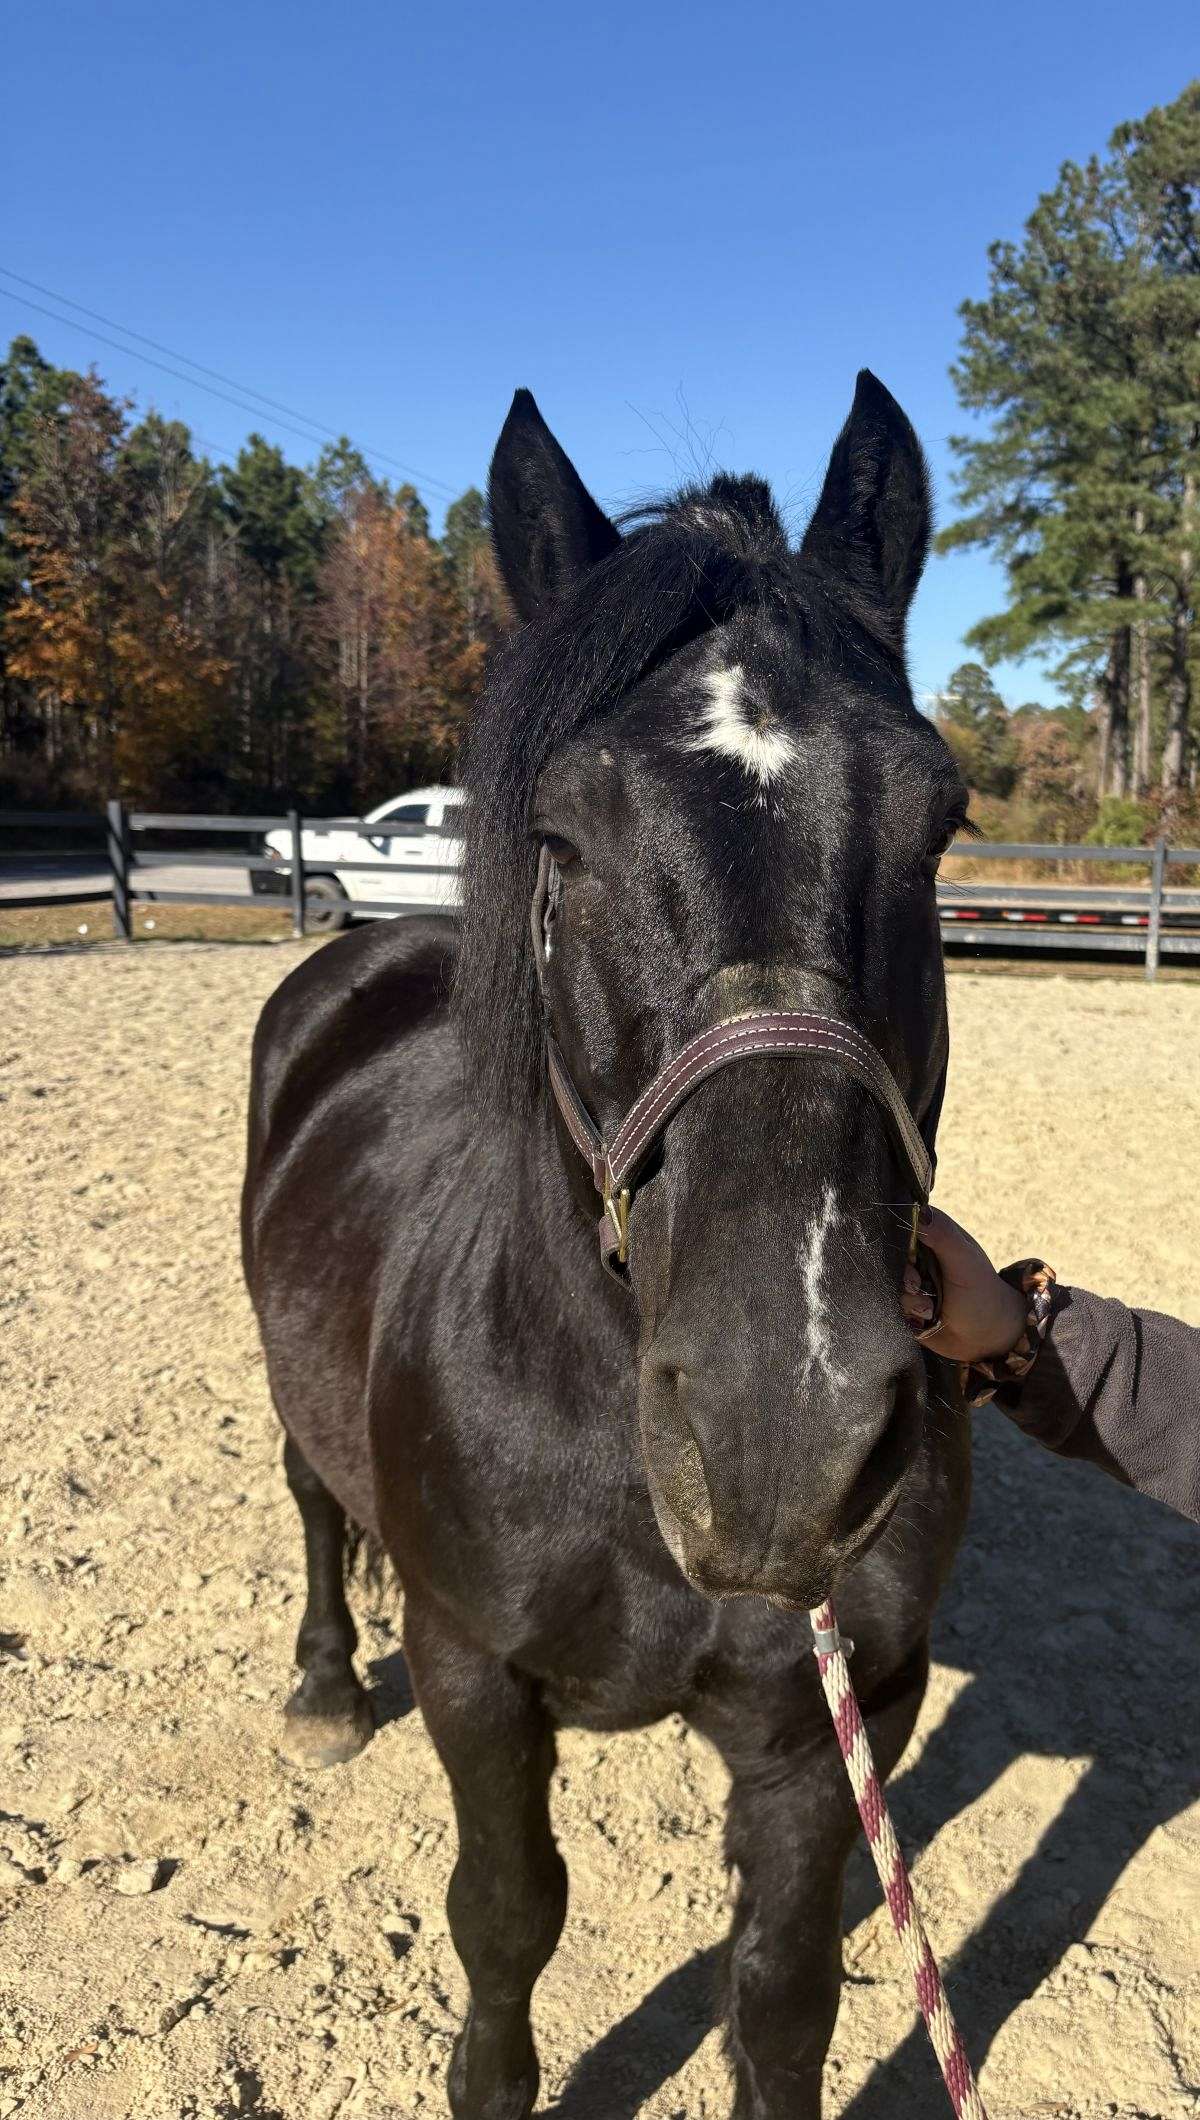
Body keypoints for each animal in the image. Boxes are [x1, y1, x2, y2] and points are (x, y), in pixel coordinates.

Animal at [242, 371, 973, 2120]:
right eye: (563, 838)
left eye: (941, 826)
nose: (781, 1434)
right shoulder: (471, 1678)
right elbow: (508, 1920)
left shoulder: (827, 1723)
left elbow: (781, 2000)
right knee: (311, 1499)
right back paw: (320, 1688)